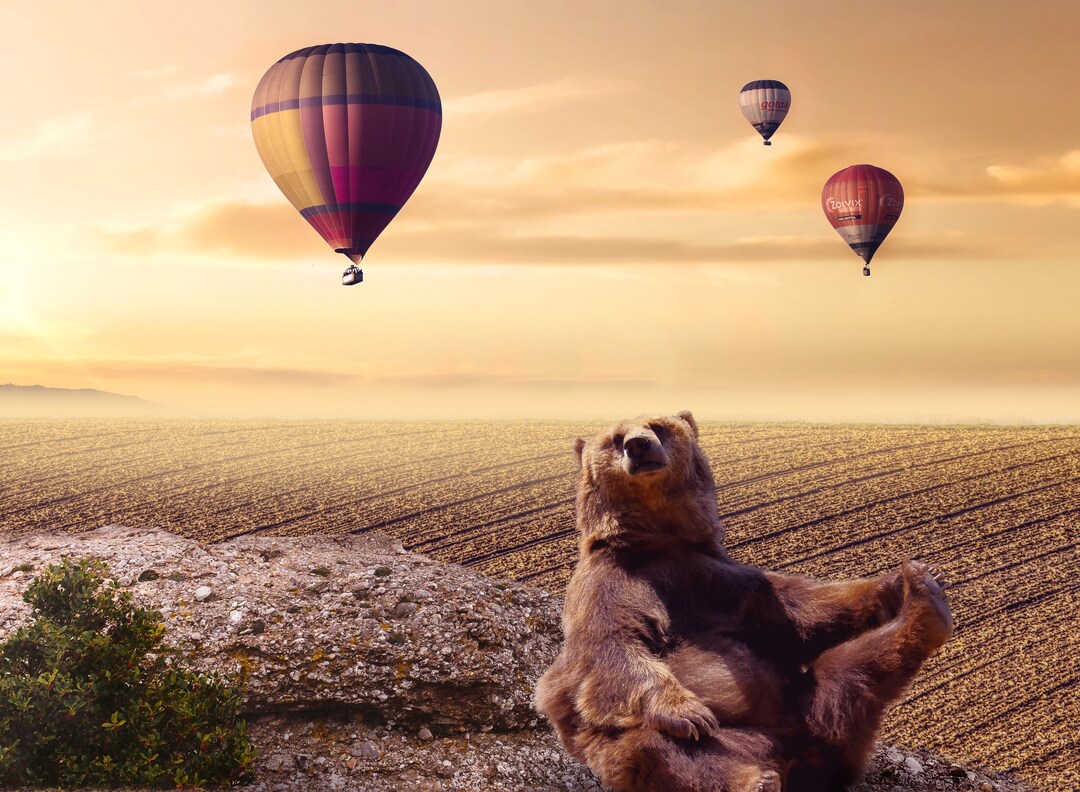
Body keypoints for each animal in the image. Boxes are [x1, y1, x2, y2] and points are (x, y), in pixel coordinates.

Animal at [535, 410, 953, 792]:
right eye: (616, 438)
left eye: (658, 426)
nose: (638, 445)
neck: (658, 541)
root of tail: (791, 756)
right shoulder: (610, 585)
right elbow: (611, 647)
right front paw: (686, 710)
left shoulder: (716, 578)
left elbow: (798, 612)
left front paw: (897, 580)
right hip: (685, 747)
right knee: (667, 750)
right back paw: (754, 779)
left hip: (805, 711)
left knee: (846, 673)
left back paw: (926, 602)